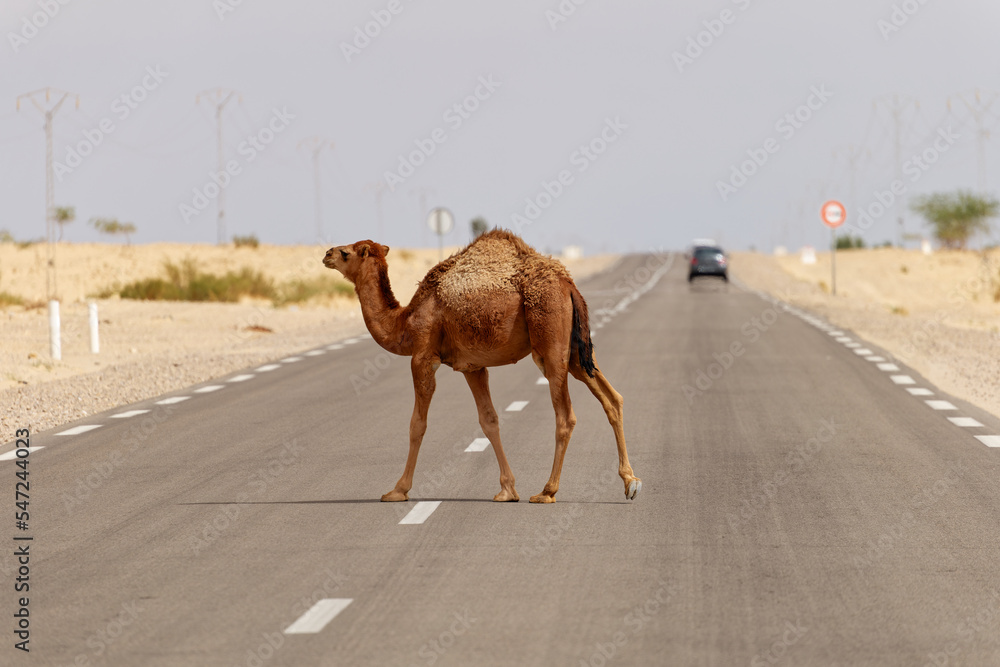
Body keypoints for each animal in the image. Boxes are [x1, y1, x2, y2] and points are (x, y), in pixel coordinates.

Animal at [323, 229, 641, 504]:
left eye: (346, 252)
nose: (326, 254)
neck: (405, 322)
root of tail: (569, 286)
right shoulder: (472, 366)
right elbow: (489, 420)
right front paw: (507, 490)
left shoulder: (423, 357)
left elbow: (417, 424)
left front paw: (398, 490)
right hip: (576, 352)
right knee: (613, 398)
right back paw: (630, 481)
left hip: (549, 341)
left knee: (565, 416)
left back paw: (547, 491)